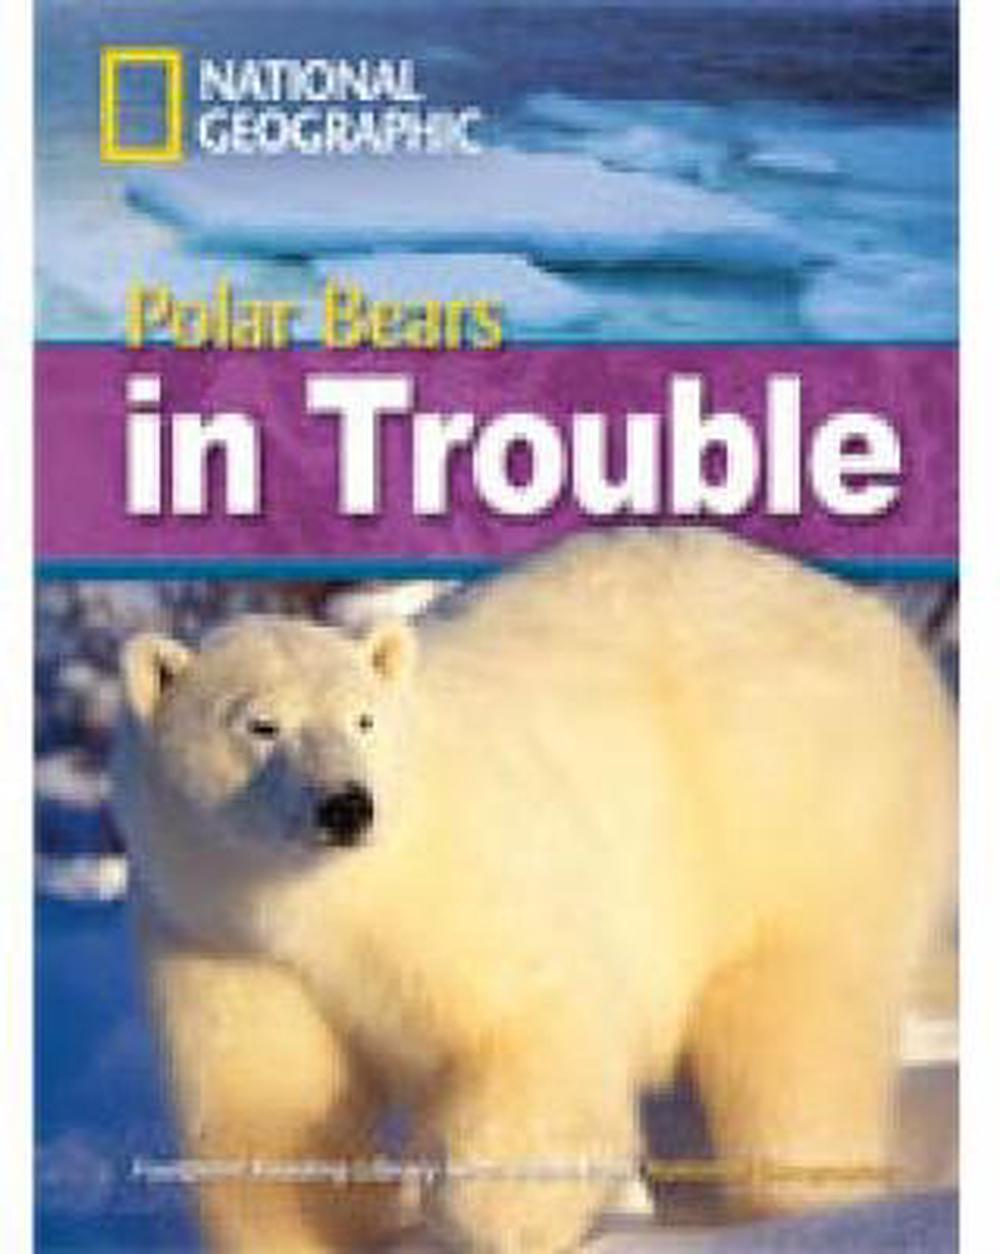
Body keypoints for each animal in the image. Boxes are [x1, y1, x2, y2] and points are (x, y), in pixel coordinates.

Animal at [110, 528, 956, 1254]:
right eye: (259, 725)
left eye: (364, 720)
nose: (346, 806)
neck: (324, 903)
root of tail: (881, 625)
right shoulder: (221, 938)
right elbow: (267, 1108)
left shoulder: (461, 882)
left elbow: (529, 1031)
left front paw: (485, 1212)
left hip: (794, 814)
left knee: (796, 1030)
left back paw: (799, 1205)